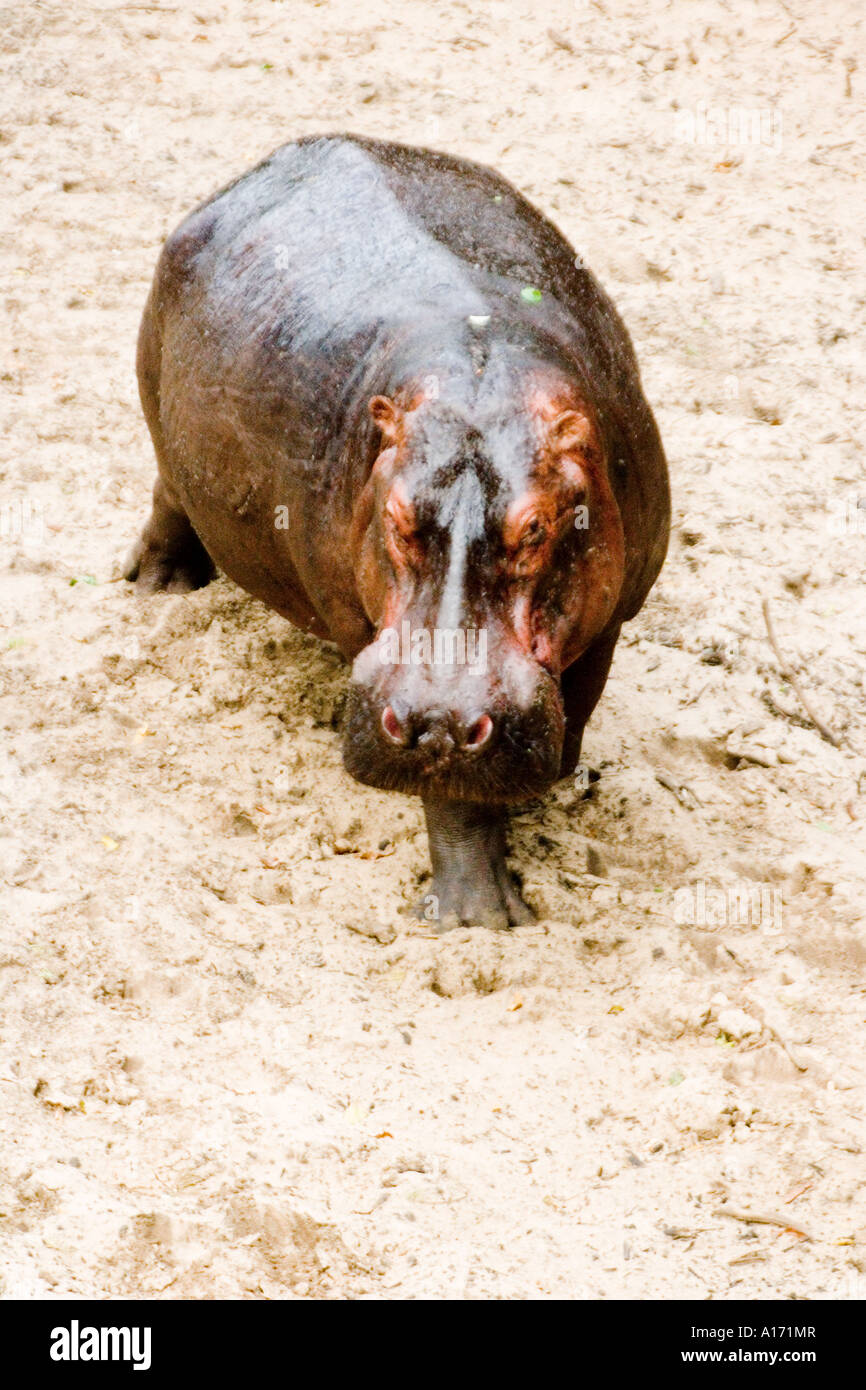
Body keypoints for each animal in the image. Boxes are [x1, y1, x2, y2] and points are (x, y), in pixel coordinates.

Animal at [126, 133, 670, 929]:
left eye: (538, 526)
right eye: (394, 518)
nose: (436, 721)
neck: (483, 379)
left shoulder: (608, 621)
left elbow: (568, 722)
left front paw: (546, 785)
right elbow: (456, 801)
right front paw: (480, 919)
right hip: (163, 427)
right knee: (168, 497)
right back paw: (158, 588)